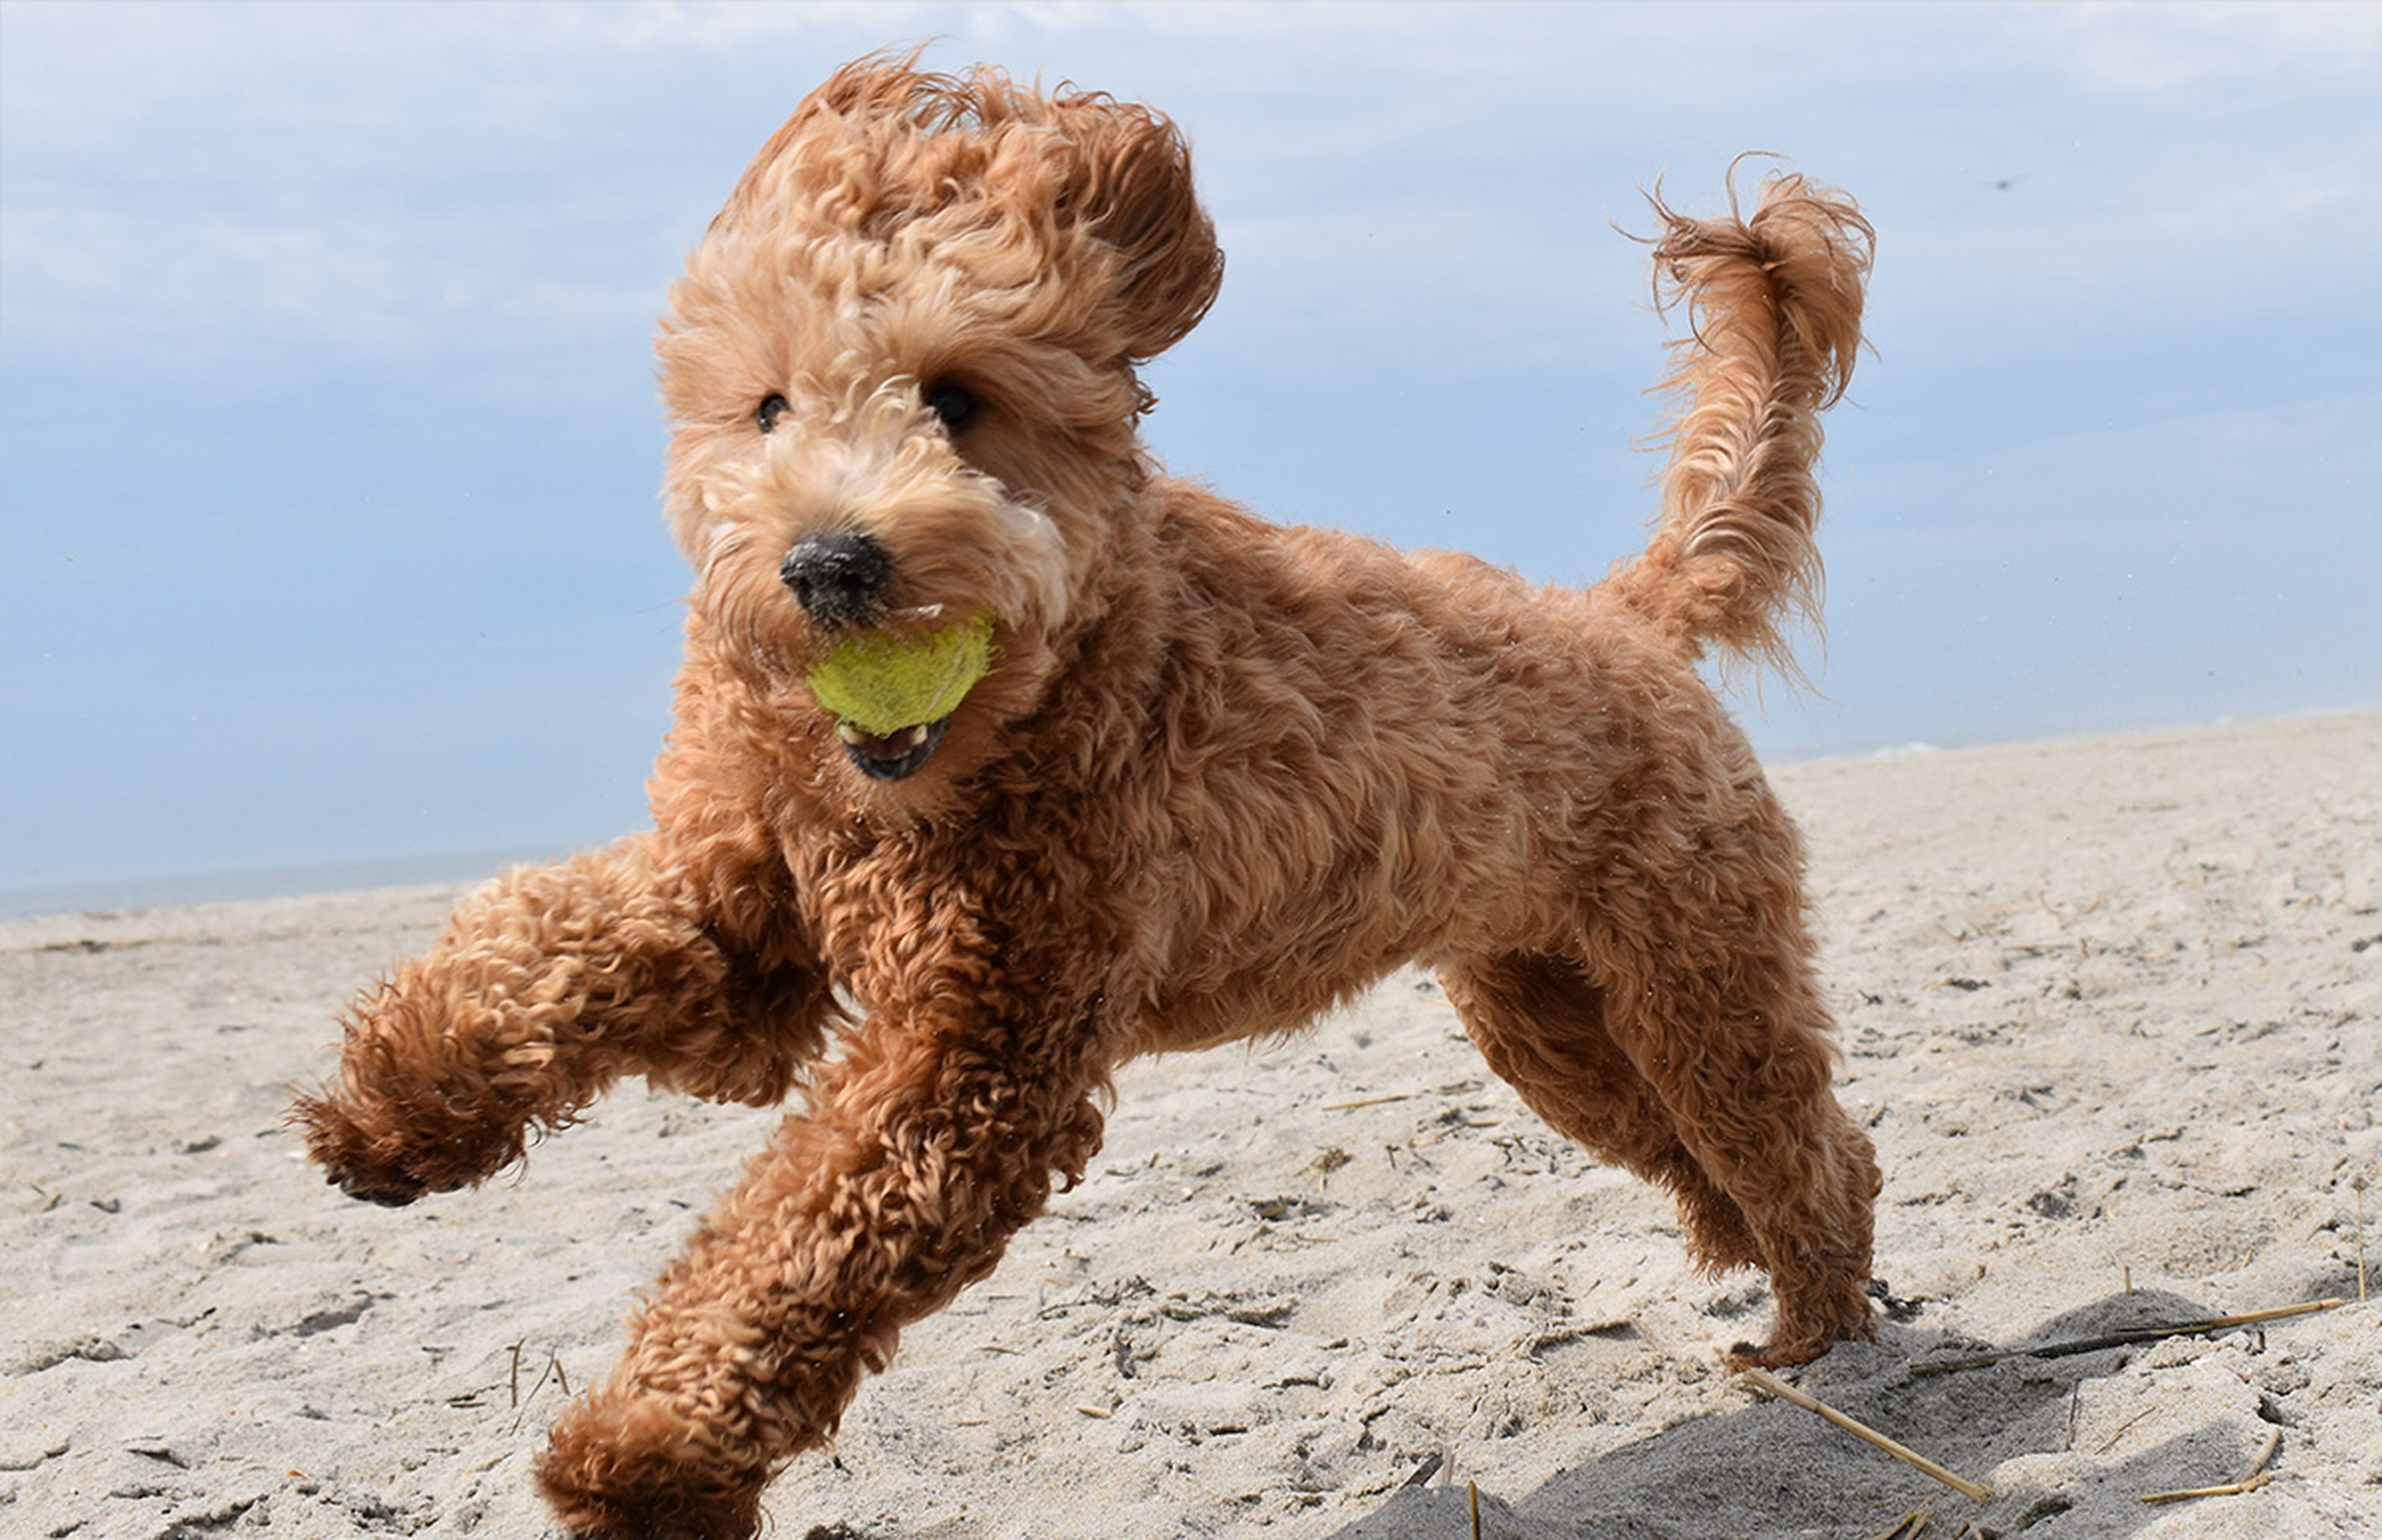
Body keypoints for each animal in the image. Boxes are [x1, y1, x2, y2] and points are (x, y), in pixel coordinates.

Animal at [293, 57, 1876, 1540]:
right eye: (768, 405)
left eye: (956, 396)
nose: (829, 566)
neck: (954, 749)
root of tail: (1619, 613)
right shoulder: (744, 903)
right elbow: (550, 942)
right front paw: (394, 1106)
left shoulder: (979, 1052)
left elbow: (794, 1244)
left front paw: (646, 1454)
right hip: (1552, 1013)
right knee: (1715, 1148)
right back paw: (1760, 1276)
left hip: (1693, 975)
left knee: (1809, 1145)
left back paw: (1816, 1330)